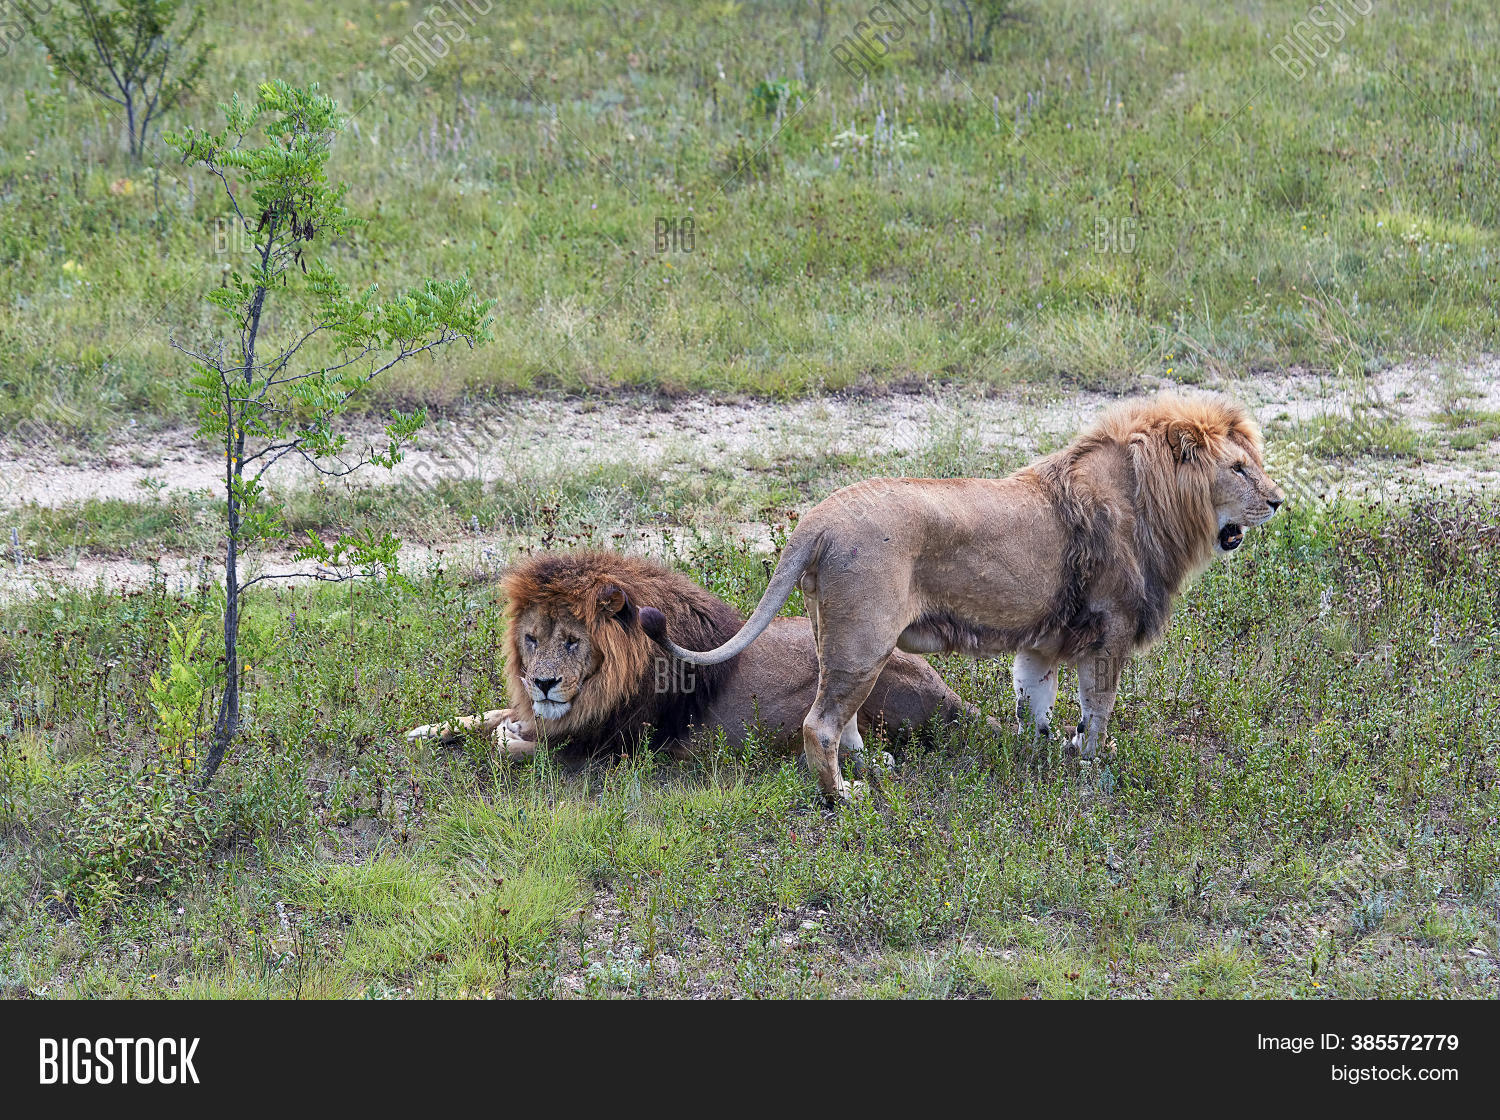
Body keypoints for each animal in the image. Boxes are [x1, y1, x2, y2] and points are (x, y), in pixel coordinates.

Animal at [404, 549, 988, 764]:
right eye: (531, 638)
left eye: (572, 641)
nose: (544, 683)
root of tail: (953, 697)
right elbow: (490, 714)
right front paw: (425, 730)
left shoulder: (605, 745)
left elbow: (513, 744)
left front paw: (508, 736)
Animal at [641, 394, 1285, 802]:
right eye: (1239, 469)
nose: (1280, 501)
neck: (1156, 500)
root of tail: (816, 519)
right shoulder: (1111, 632)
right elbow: (1097, 713)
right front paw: (1091, 770)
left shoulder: (1043, 643)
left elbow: (1036, 707)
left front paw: (1039, 757)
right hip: (865, 640)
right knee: (819, 724)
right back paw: (843, 796)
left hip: (834, 636)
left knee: (838, 716)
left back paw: (870, 766)